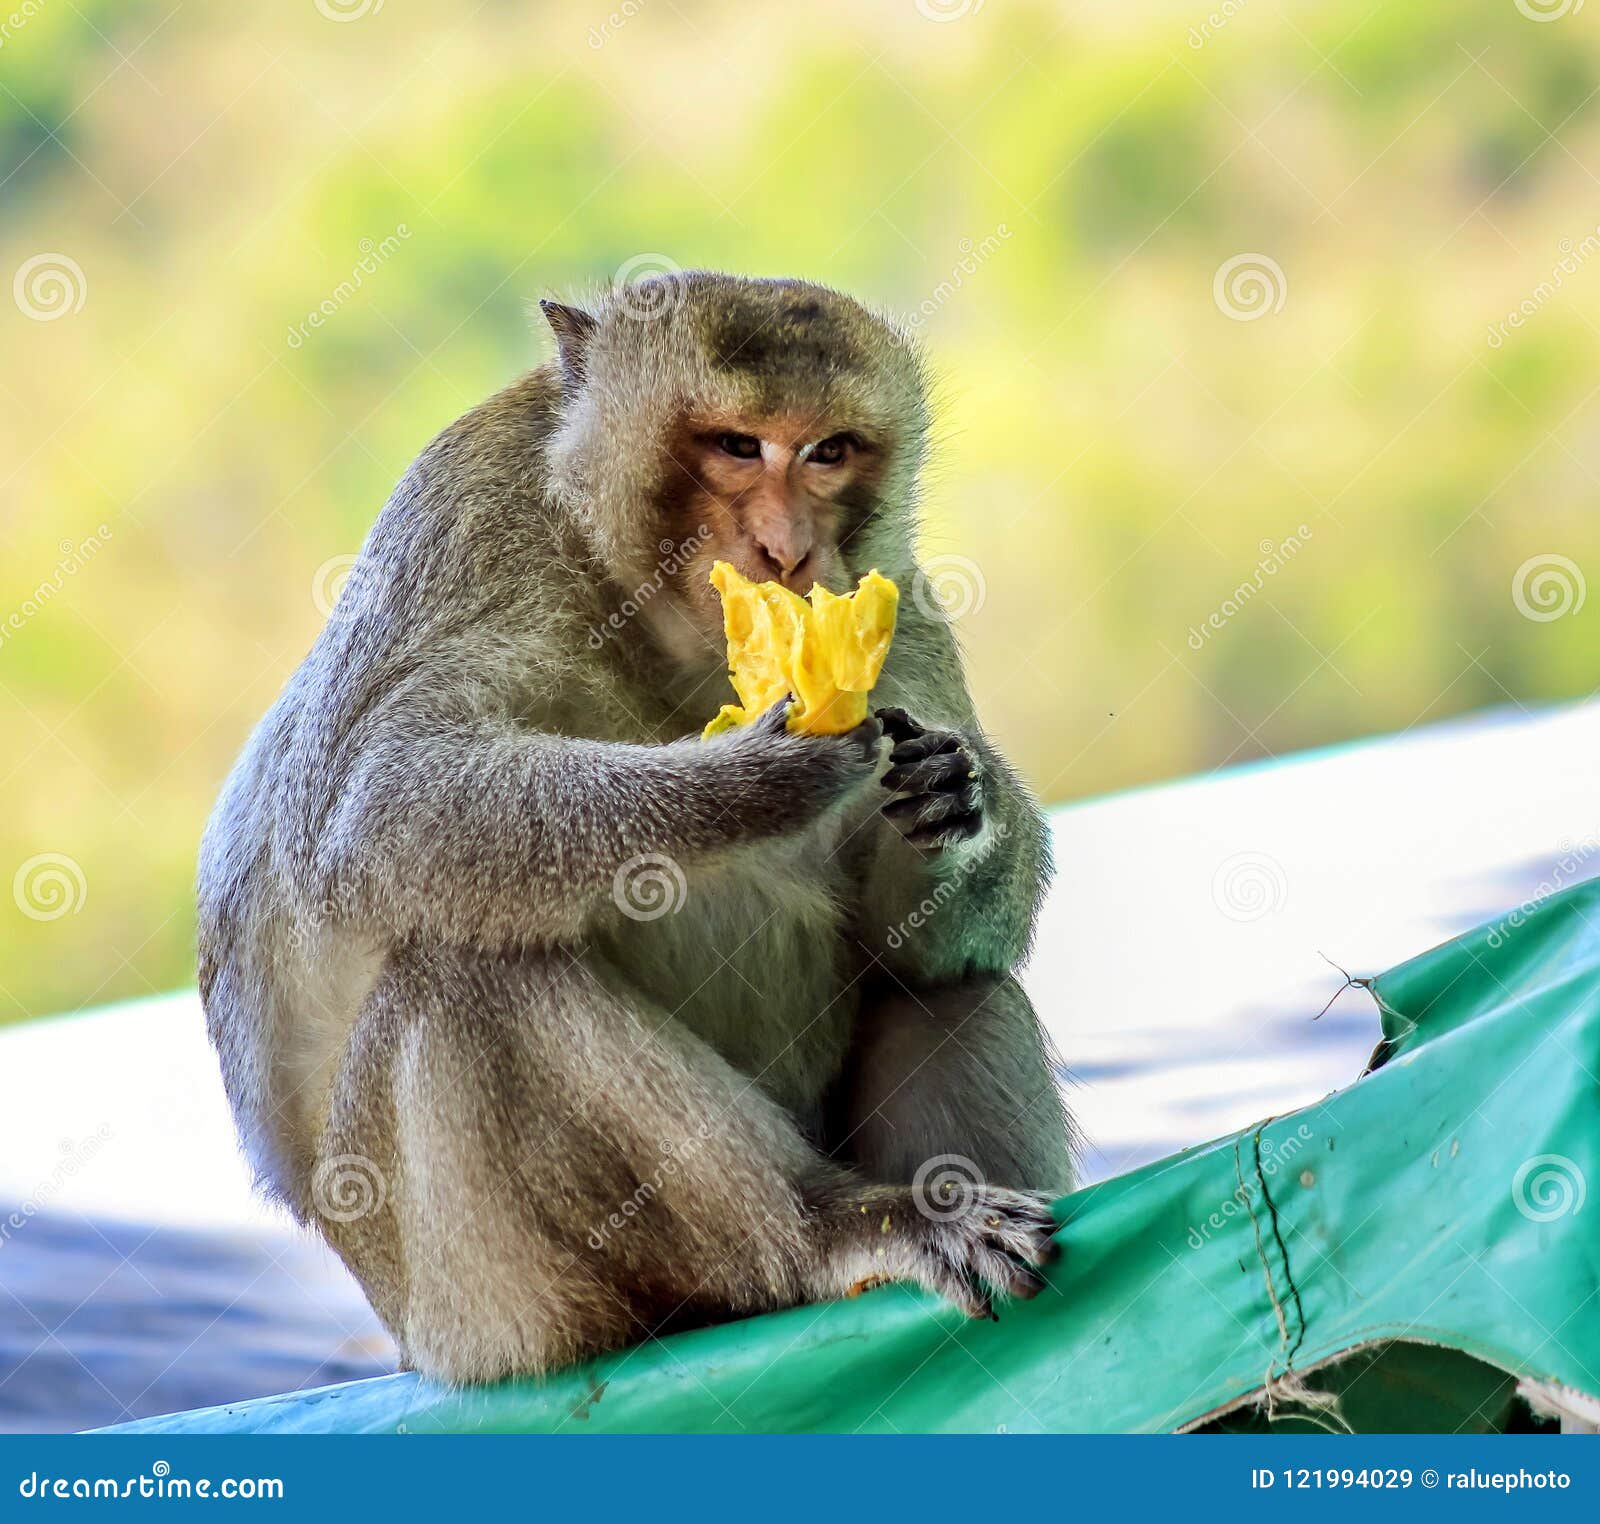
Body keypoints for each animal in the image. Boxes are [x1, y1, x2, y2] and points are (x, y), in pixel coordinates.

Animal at [198, 271, 1074, 1384]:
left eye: (829, 450)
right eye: (737, 446)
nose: (789, 551)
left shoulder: (902, 616)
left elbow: (913, 939)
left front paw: (962, 798)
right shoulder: (470, 533)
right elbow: (380, 807)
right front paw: (749, 781)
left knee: (949, 981)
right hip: (484, 1305)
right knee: (471, 980)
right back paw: (834, 1231)